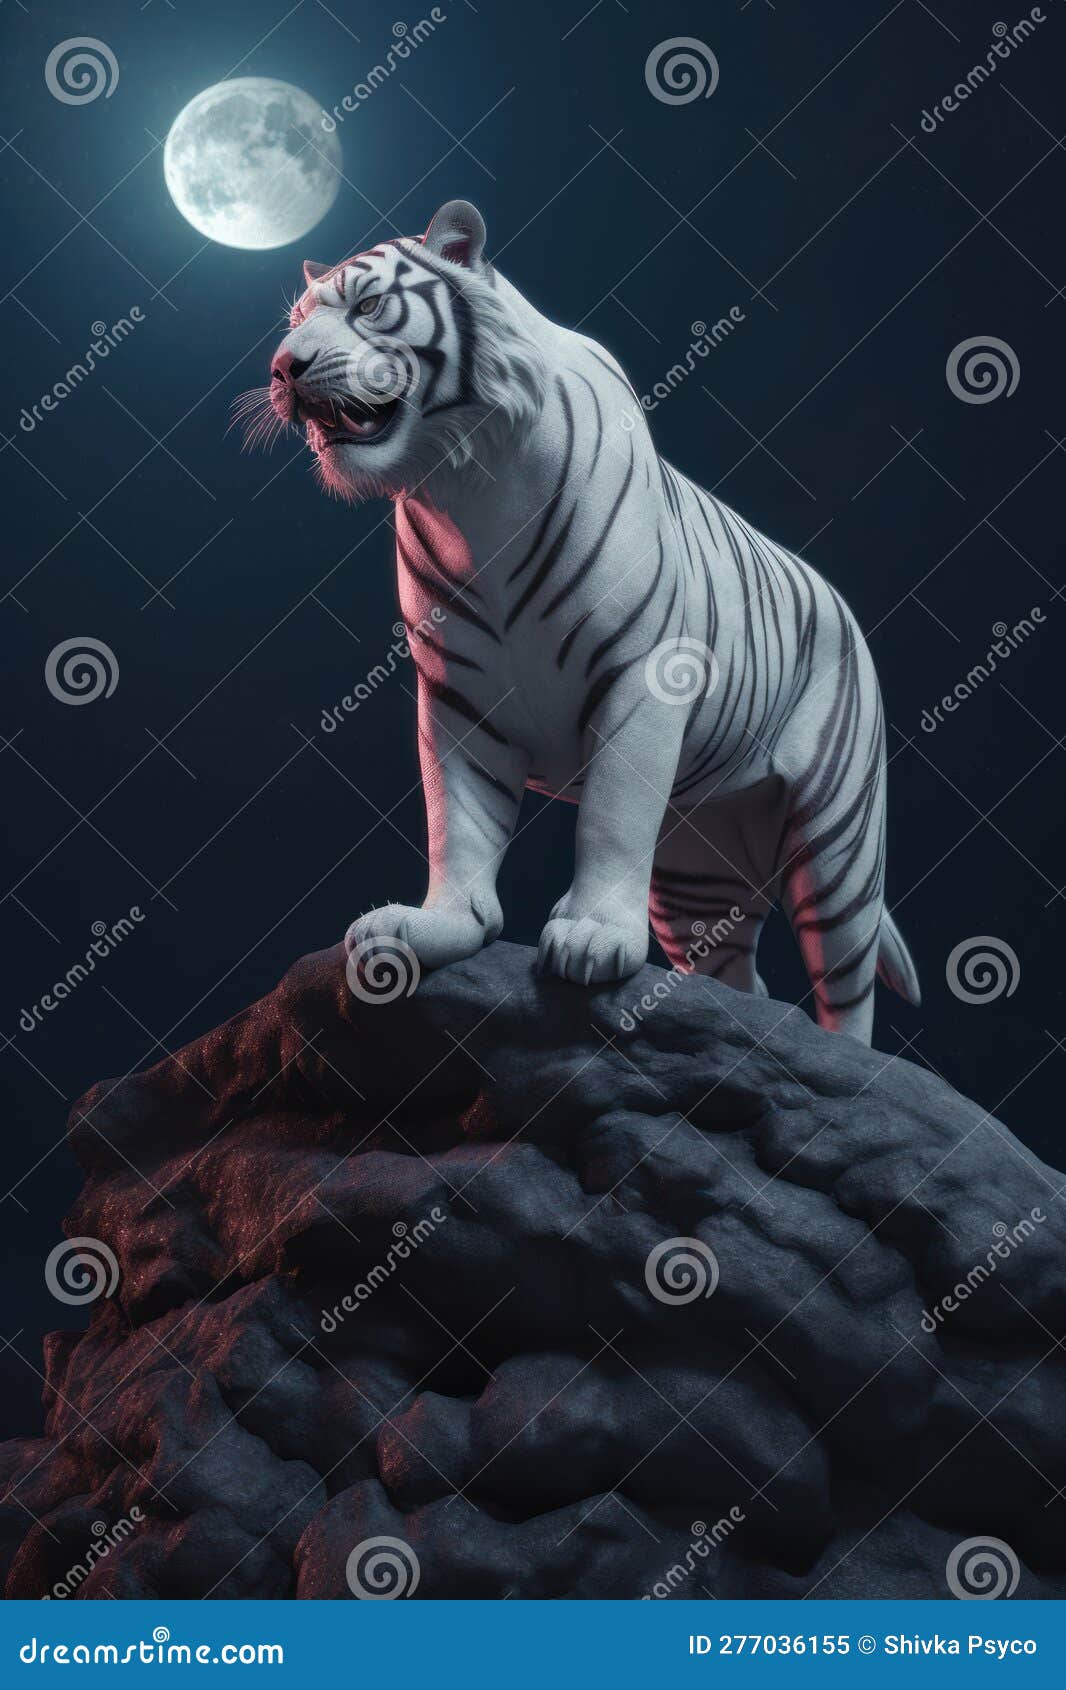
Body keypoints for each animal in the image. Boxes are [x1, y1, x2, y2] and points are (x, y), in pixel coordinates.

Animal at [249, 197, 920, 1044]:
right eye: (296, 323)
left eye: (368, 307)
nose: (283, 369)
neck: (463, 481)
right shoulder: (458, 695)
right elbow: (458, 820)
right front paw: (435, 926)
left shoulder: (642, 675)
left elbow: (610, 815)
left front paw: (593, 937)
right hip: (697, 868)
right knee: (743, 980)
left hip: (839, 844)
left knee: (847, 988)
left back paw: (841, 1056)